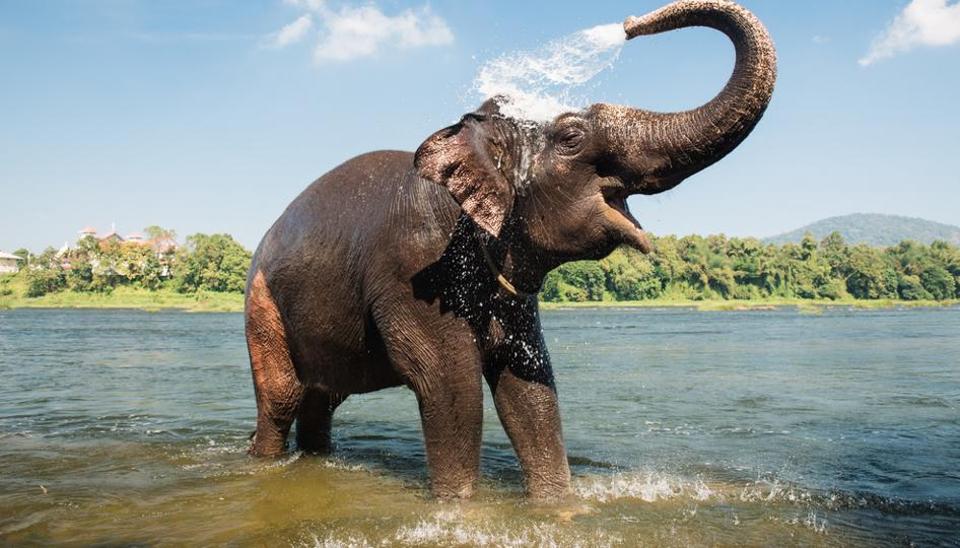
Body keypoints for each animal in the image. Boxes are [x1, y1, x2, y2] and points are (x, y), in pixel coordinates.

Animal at [245, 0, 776, 499]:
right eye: (571, 137)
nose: (629, 24)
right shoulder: (413, 269)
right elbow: (450, 385)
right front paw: (459, 508)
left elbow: (529, 385)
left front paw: (558, 505)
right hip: (261, 306)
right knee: (282, 399)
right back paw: (264, 461)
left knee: (321, 400)